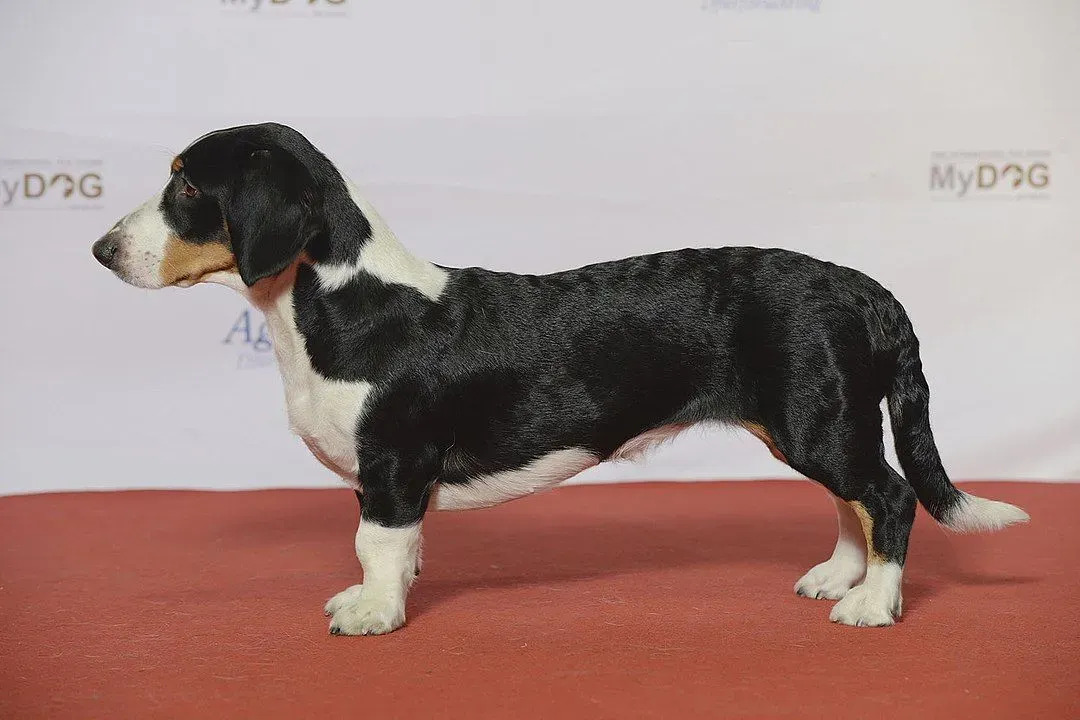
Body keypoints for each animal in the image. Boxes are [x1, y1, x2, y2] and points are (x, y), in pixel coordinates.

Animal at [92, 124, 1028, 634]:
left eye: (186, 184)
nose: (100, 250)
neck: (343, 299)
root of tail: (863, 288)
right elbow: (396, 552)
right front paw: (380, 595)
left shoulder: (391, 467)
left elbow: (377, 543)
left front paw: (374, 614)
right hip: (814, 422)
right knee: (854, 500)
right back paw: (843, 577)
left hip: (818, 419)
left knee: (889, 497)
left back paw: (874, 604)